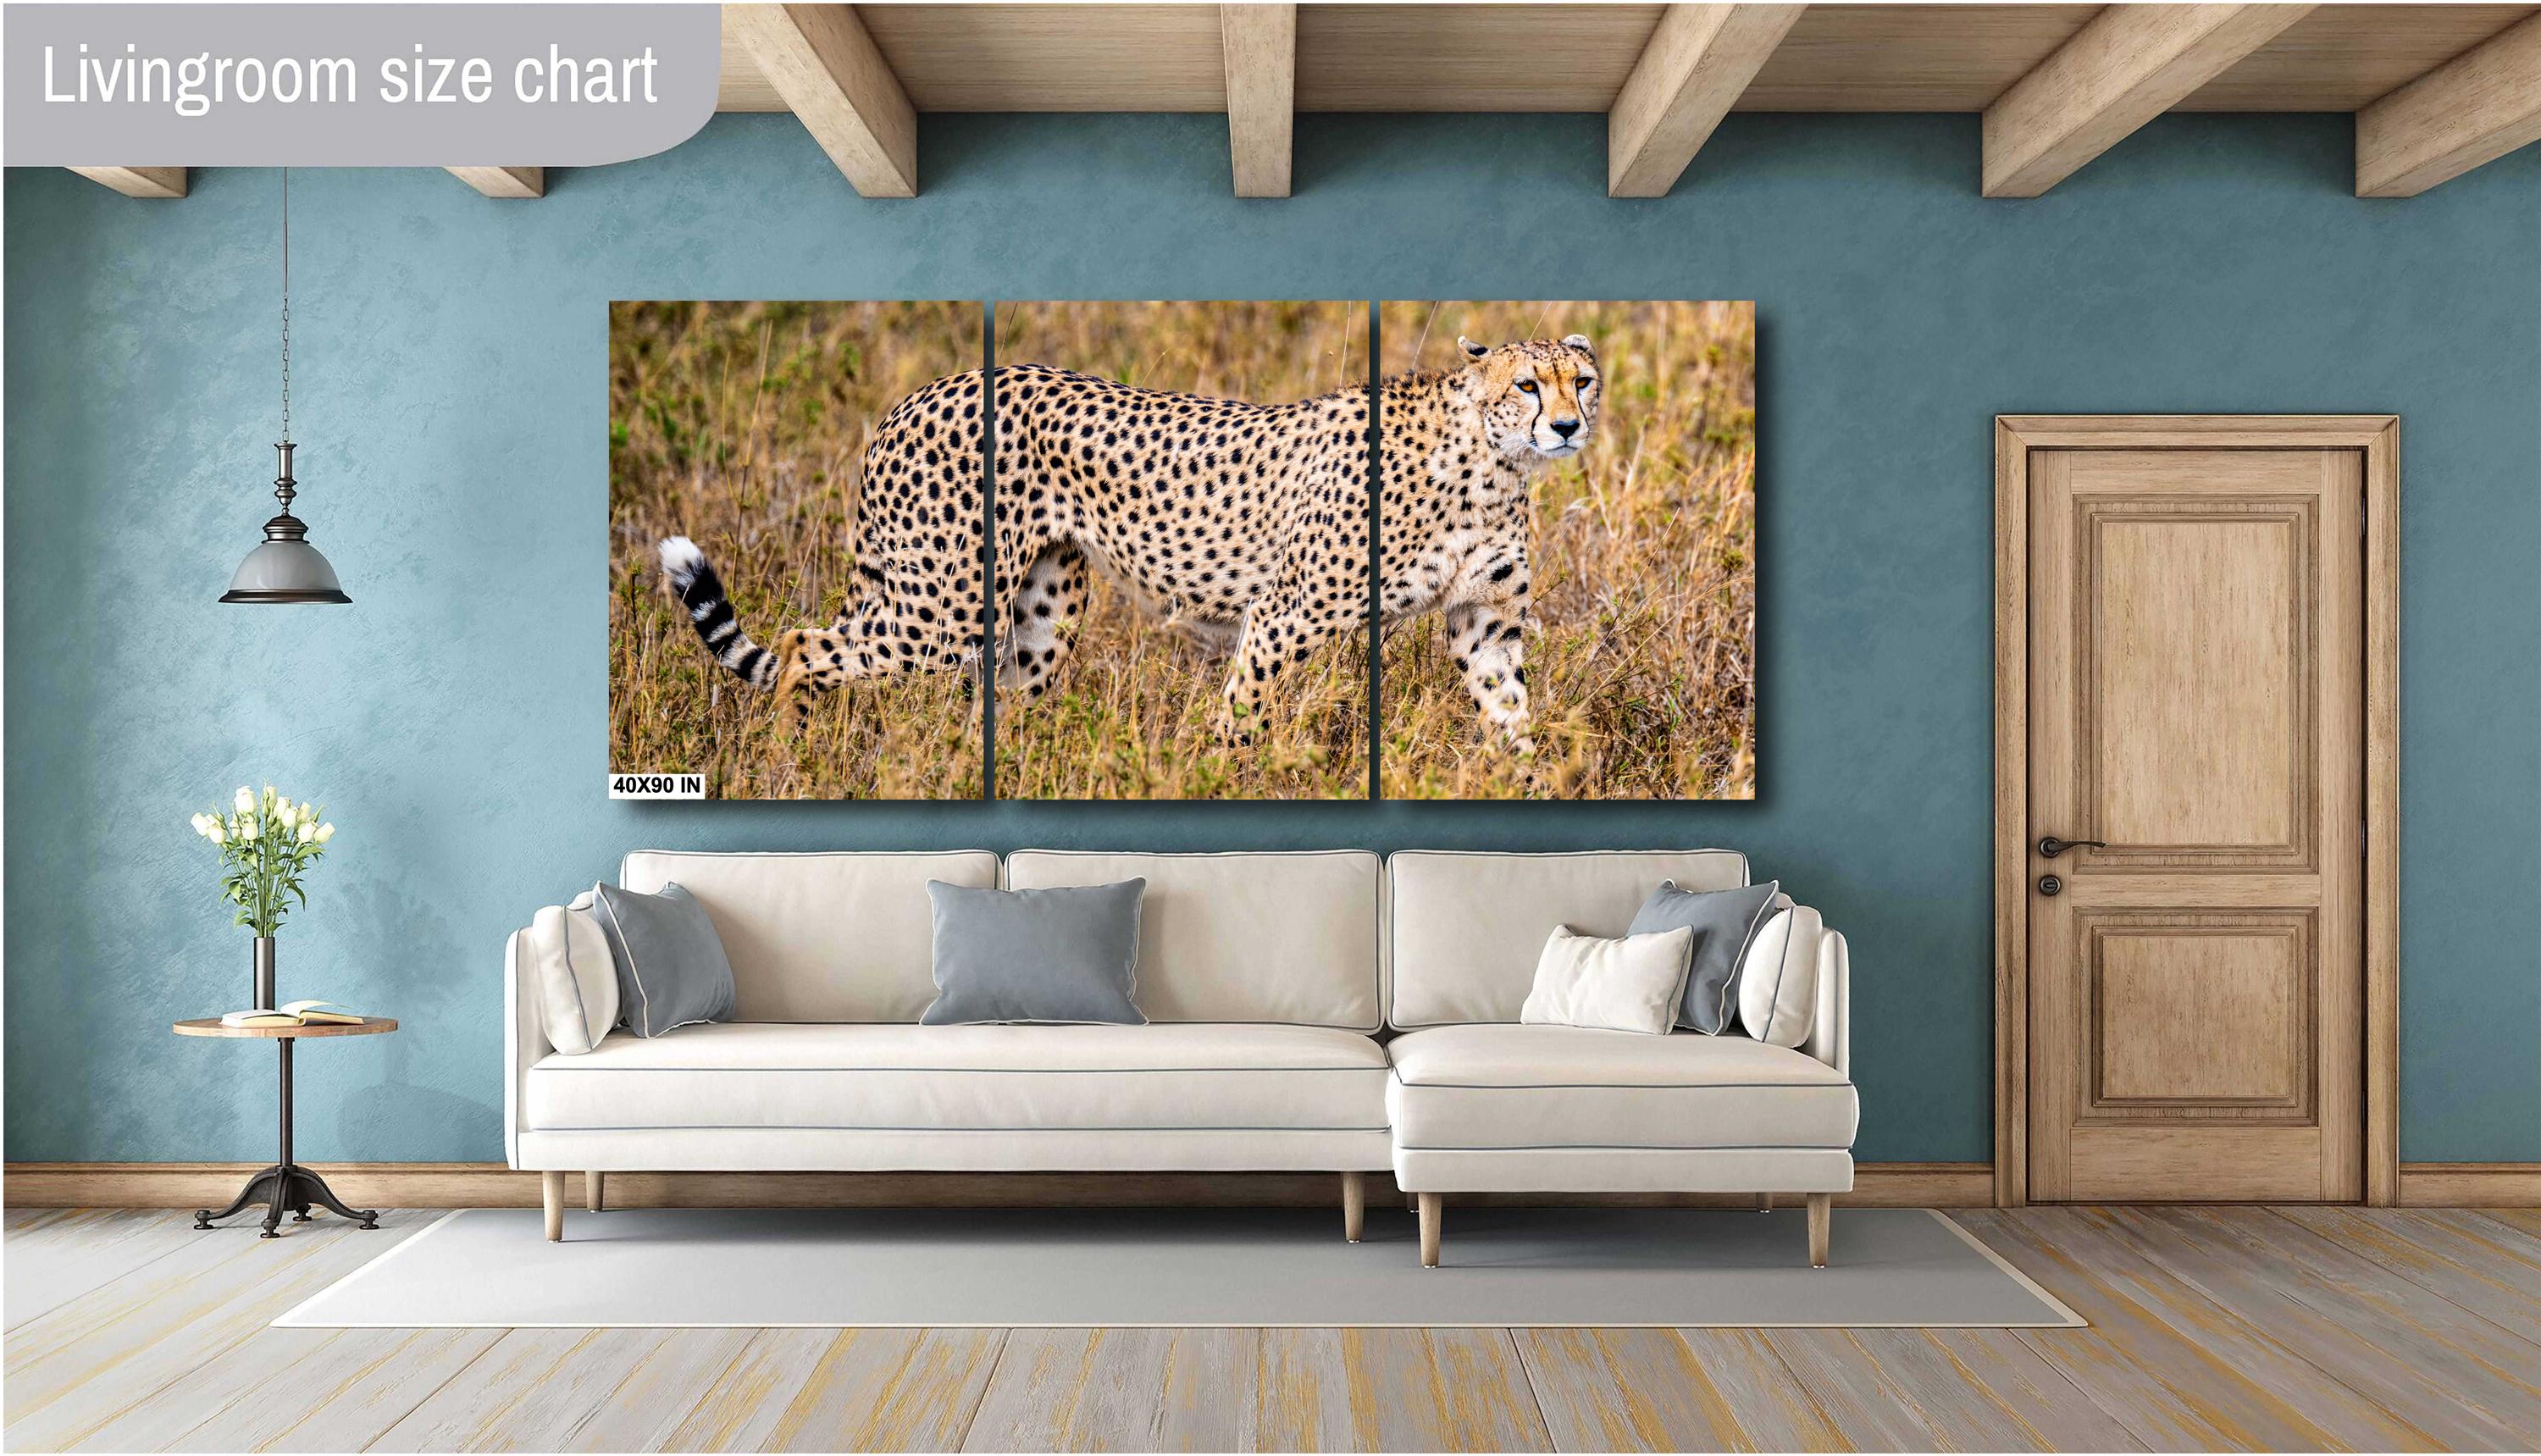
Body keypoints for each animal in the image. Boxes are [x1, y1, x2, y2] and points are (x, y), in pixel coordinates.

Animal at [656, 333, 1599, 753]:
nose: (1568, 425)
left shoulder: (1485, 625)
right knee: (801, 646)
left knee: (996, 699)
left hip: (1041, 610)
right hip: (946, 611)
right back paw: (793, 756)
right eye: (1528, 385)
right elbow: (1242, 716)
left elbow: (1514, 715)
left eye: (1582, 380)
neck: (1491, 463)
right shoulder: (1283, 618)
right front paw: (1223, 778)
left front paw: (1530, 780)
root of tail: (922, 391)